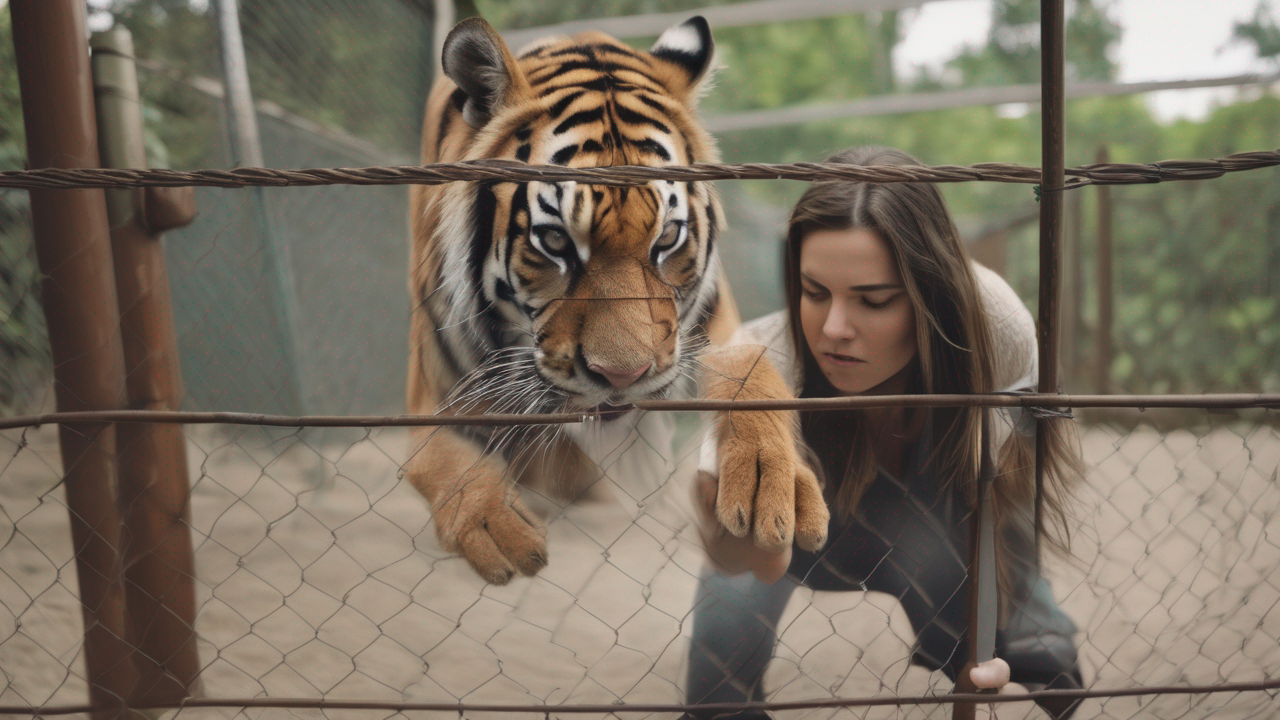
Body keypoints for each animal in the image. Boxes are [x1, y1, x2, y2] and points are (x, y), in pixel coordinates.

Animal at [409, 15, 829, 584]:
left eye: (667, 239)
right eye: (556, 241)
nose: (622, 377)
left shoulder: (712, 331)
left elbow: (751, 380)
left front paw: (776, 483)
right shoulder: (434, 393)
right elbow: (445, 461)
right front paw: (494, 523)